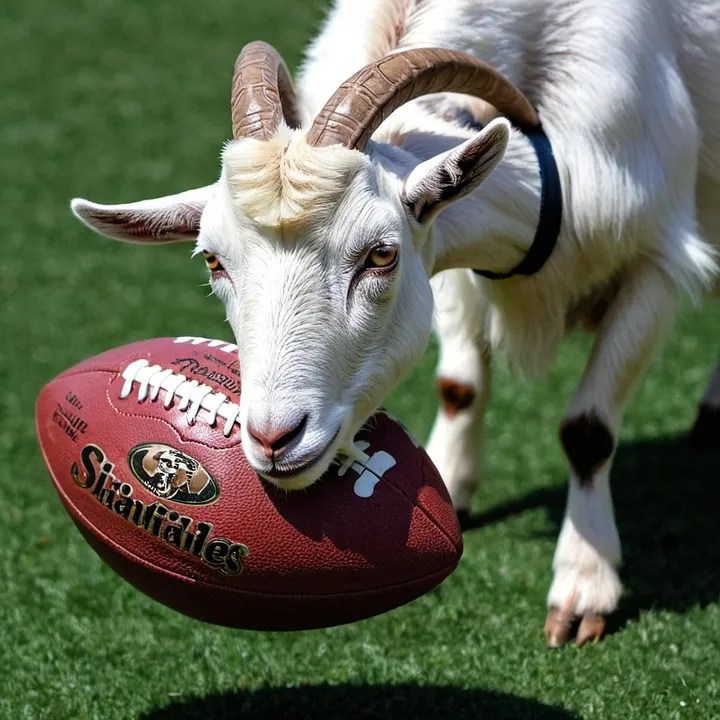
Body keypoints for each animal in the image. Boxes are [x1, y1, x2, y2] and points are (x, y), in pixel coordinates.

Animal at [70, 0, 720, 646]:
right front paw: (452, 487)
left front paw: (583, 590)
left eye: (381, 254)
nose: (274, 439)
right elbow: (459, 387)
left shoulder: (657, 261)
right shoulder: (452, 268)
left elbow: (588, 431)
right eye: (213, 259)